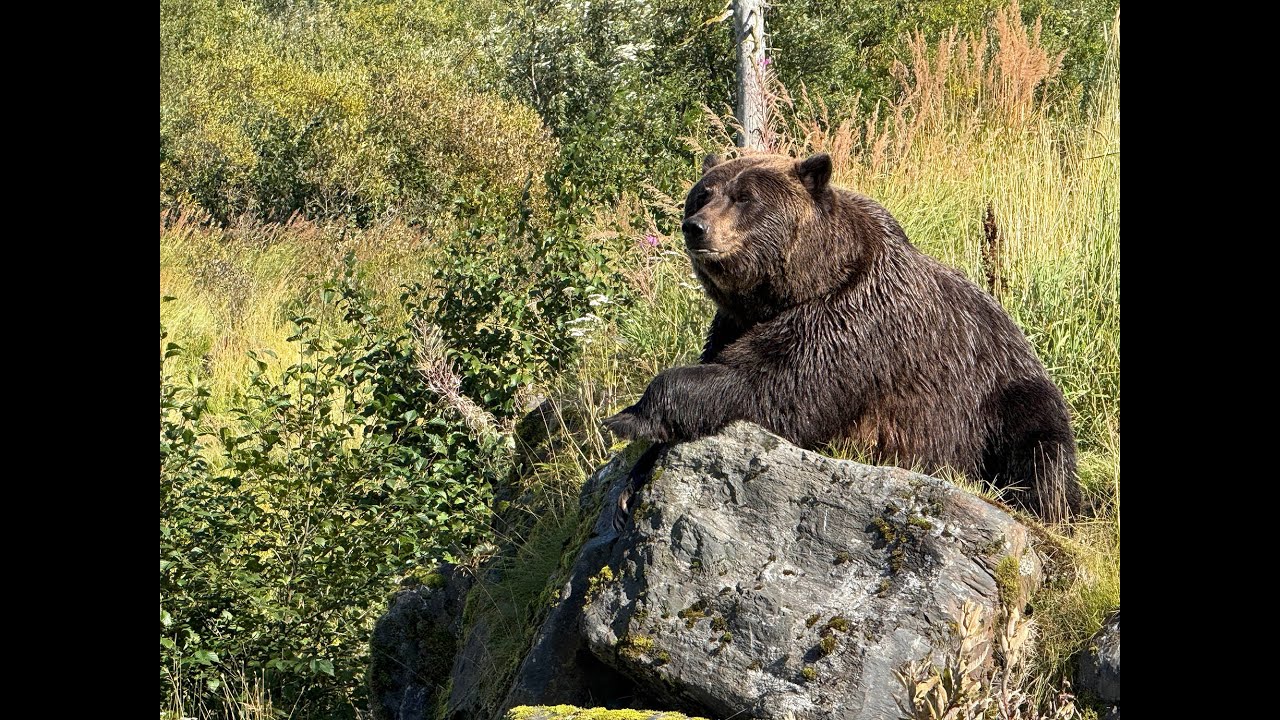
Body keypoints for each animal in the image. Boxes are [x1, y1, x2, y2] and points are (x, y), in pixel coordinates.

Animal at [604, 152, 1081, 522]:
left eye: (744, 198)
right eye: (703, 193)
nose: (696, 227)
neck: (802, 282)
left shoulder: (856, 318)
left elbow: (771, 385)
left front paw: (629, 415)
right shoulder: (734, 321)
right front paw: (633, 481)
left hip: (1002, 393)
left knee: (1041, 447)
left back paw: (1042, 504)